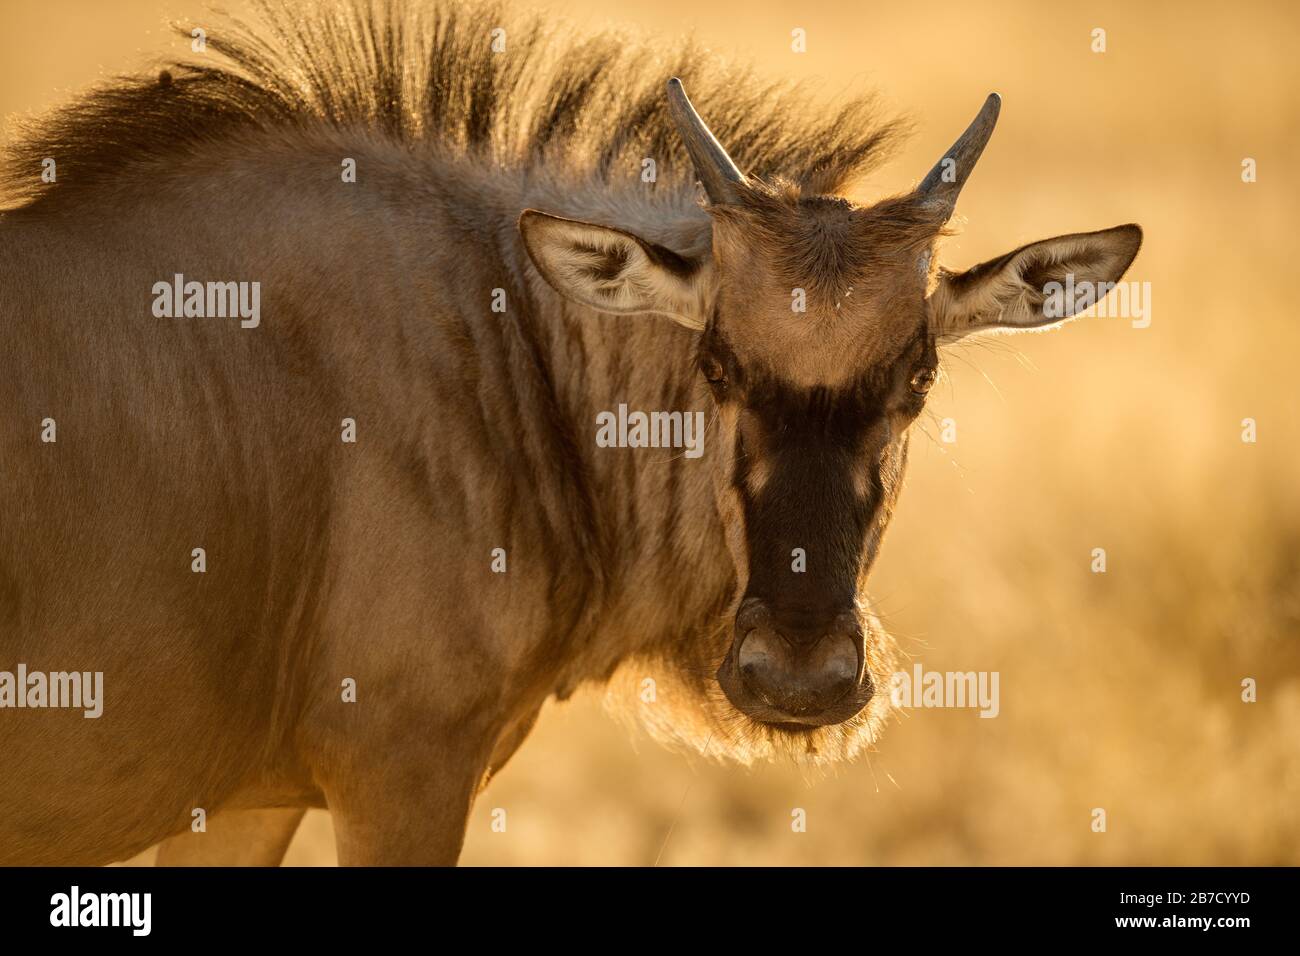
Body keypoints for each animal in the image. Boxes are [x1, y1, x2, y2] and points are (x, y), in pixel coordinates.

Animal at [0, 1, 1140, 865]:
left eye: (919, 375)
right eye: (717, 365)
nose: (799, 676)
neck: (505, 331)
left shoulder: (244, 801)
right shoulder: (402, 774)